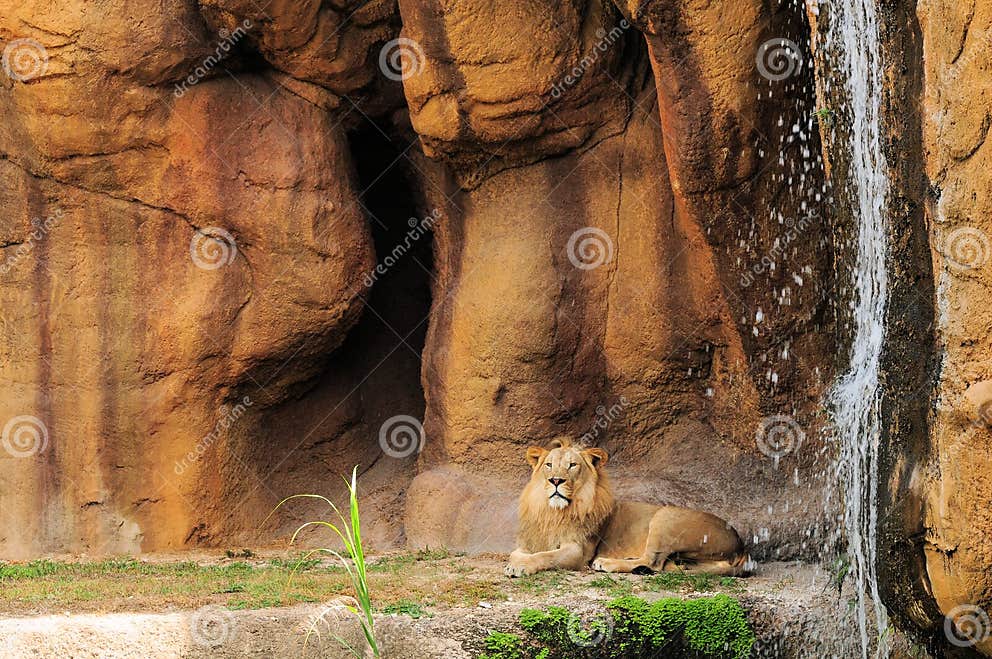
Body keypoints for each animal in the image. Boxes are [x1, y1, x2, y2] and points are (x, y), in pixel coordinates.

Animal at [504, 438, 750, 577]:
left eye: (572, 465)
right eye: (549, 465)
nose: (556, 480)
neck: (555, 512)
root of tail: (740, 543)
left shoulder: (579, 550)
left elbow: (547, 556)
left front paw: (521, 567)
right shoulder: (529, 542)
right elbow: (519, 553)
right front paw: (516, 562)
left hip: (666, 516)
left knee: (653, 562)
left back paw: (606, 563)